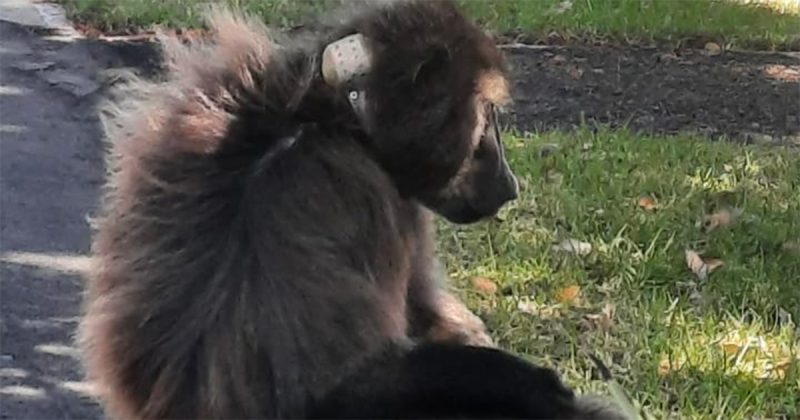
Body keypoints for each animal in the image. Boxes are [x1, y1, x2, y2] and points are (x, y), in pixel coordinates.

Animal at [78, 1, 628, 418]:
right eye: (486, 117)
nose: (510, 185)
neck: (332, 122)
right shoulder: (361, 193)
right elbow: (343, 388)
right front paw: (534, 383)